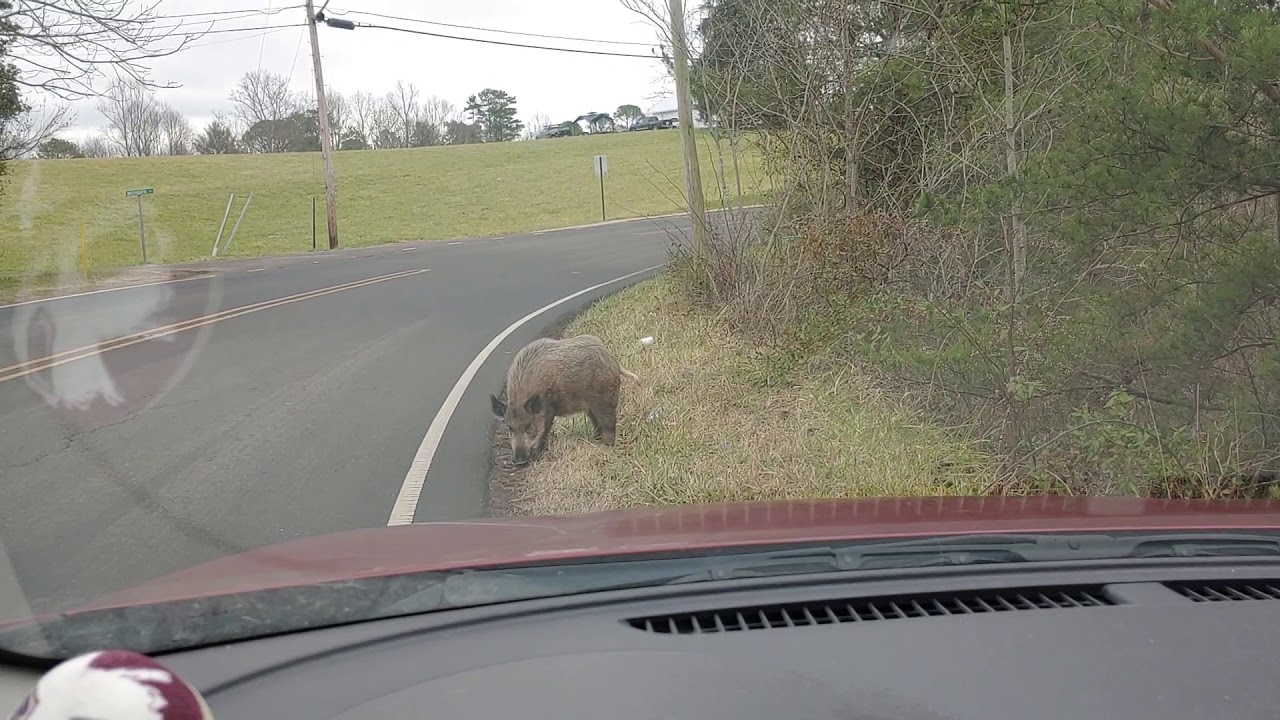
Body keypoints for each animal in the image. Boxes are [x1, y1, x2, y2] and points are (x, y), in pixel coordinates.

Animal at [490, 334, 638, 467]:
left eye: (528, 425)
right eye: (510, 427)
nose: (519, 462)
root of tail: (612, 359)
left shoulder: (549, 408)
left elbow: (545, 430)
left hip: (605, 399)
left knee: (609, 424)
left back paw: (607, 447)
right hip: (591, 406)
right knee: (597, 423)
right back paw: (596, 440)